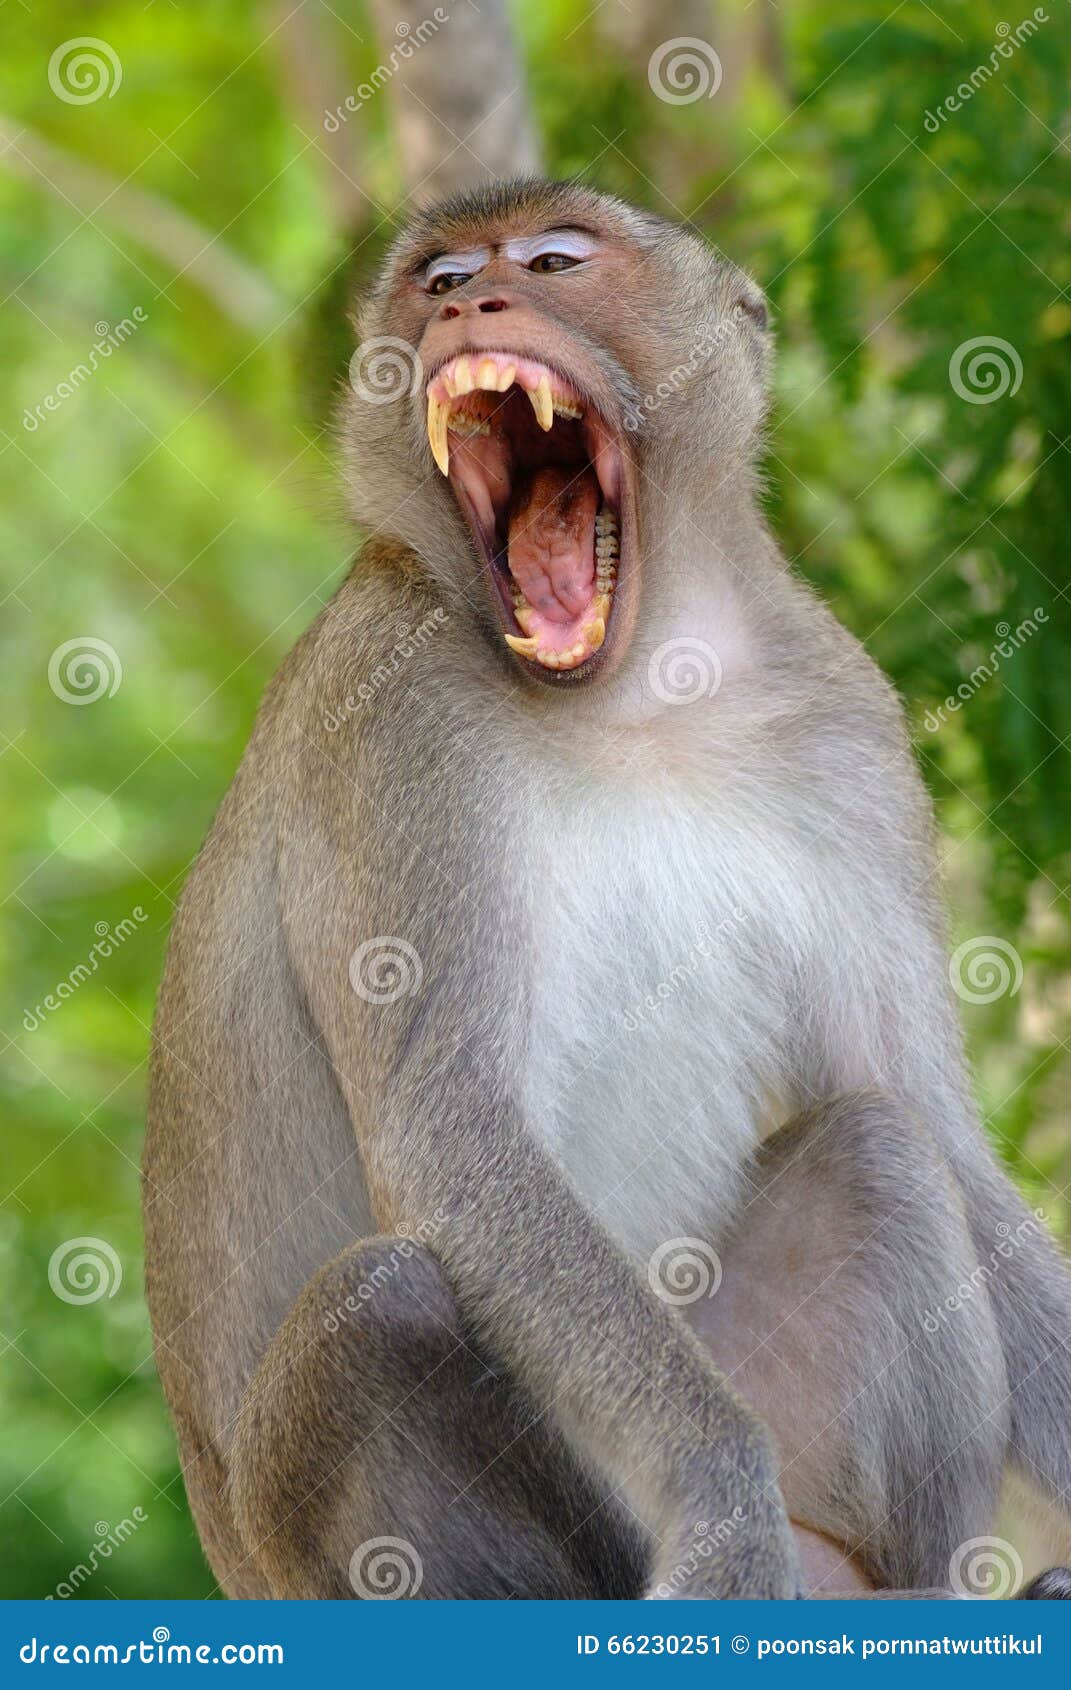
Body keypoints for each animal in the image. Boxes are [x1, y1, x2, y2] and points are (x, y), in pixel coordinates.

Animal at [142, 178, 1071, 1601]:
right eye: (437, 278)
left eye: (553, 261)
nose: (471, 301)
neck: (643, 686)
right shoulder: (392, 709)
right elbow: (455, 1136)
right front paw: (724, 1498)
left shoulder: (848, 725)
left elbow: (933, 1125)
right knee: (375, 1313)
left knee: (884, 1148)